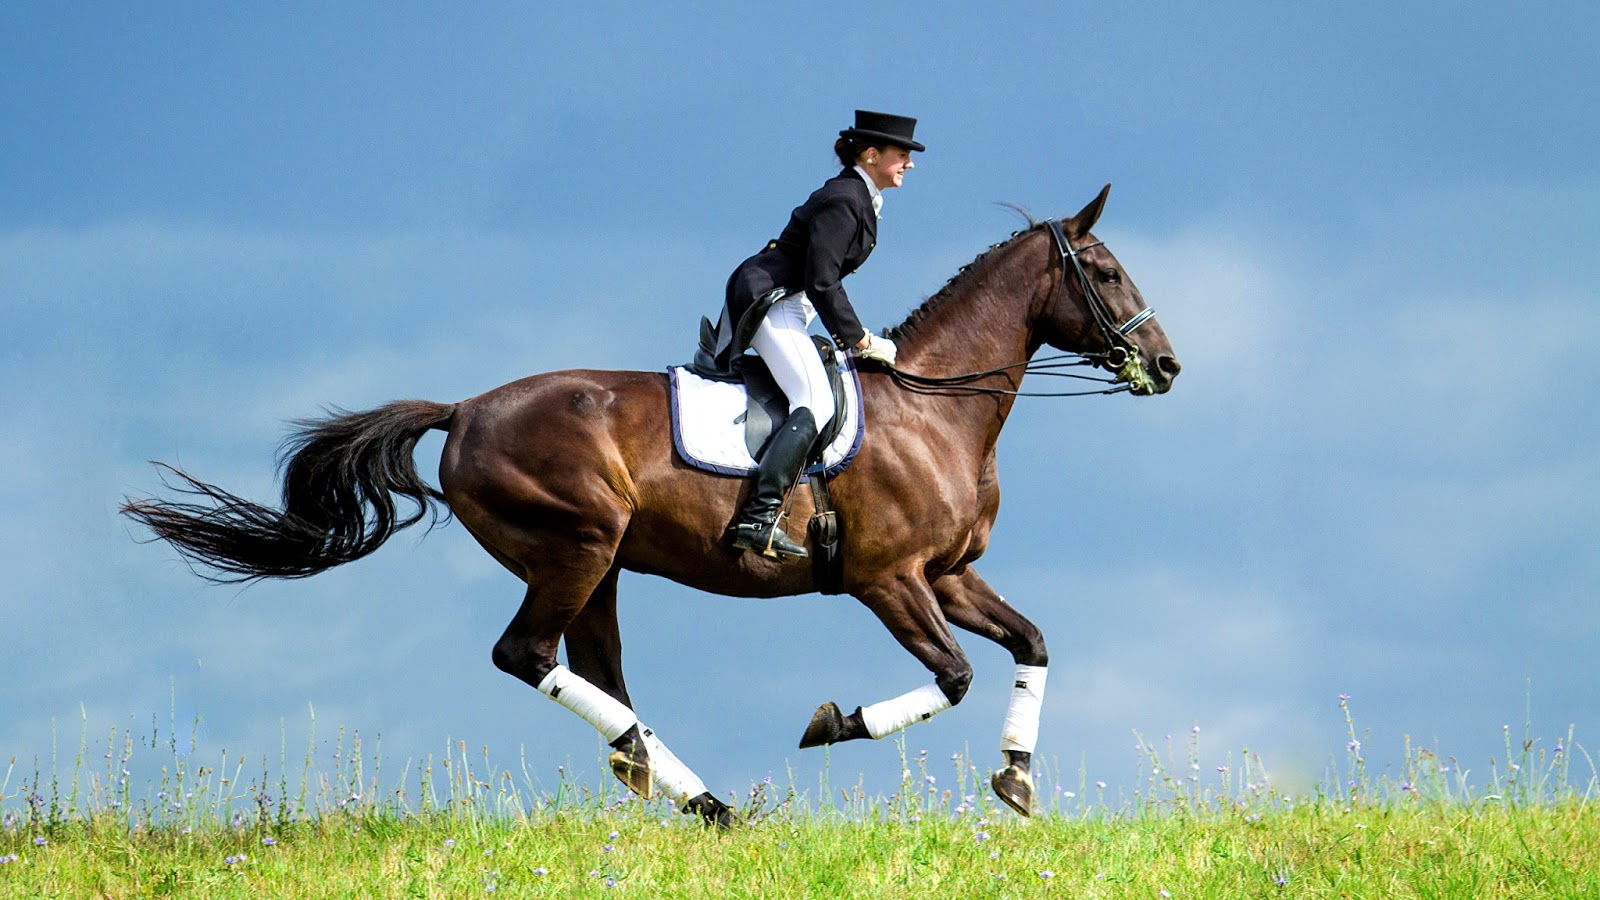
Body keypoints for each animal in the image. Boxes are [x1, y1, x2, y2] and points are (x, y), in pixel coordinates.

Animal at [122, 185, 1180, 827]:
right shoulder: (887, 580)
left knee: (599, 681)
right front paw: (830, 724)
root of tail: (464, 410)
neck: (932, 407)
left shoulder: (951, 573)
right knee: (527, 657)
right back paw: (708, 804)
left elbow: (1031, 644)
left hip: (600, 566)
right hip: (578, 546)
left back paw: (682, 796)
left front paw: (1017, 778)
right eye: (1107, 272)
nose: (1165, 365)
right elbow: (953, 677)